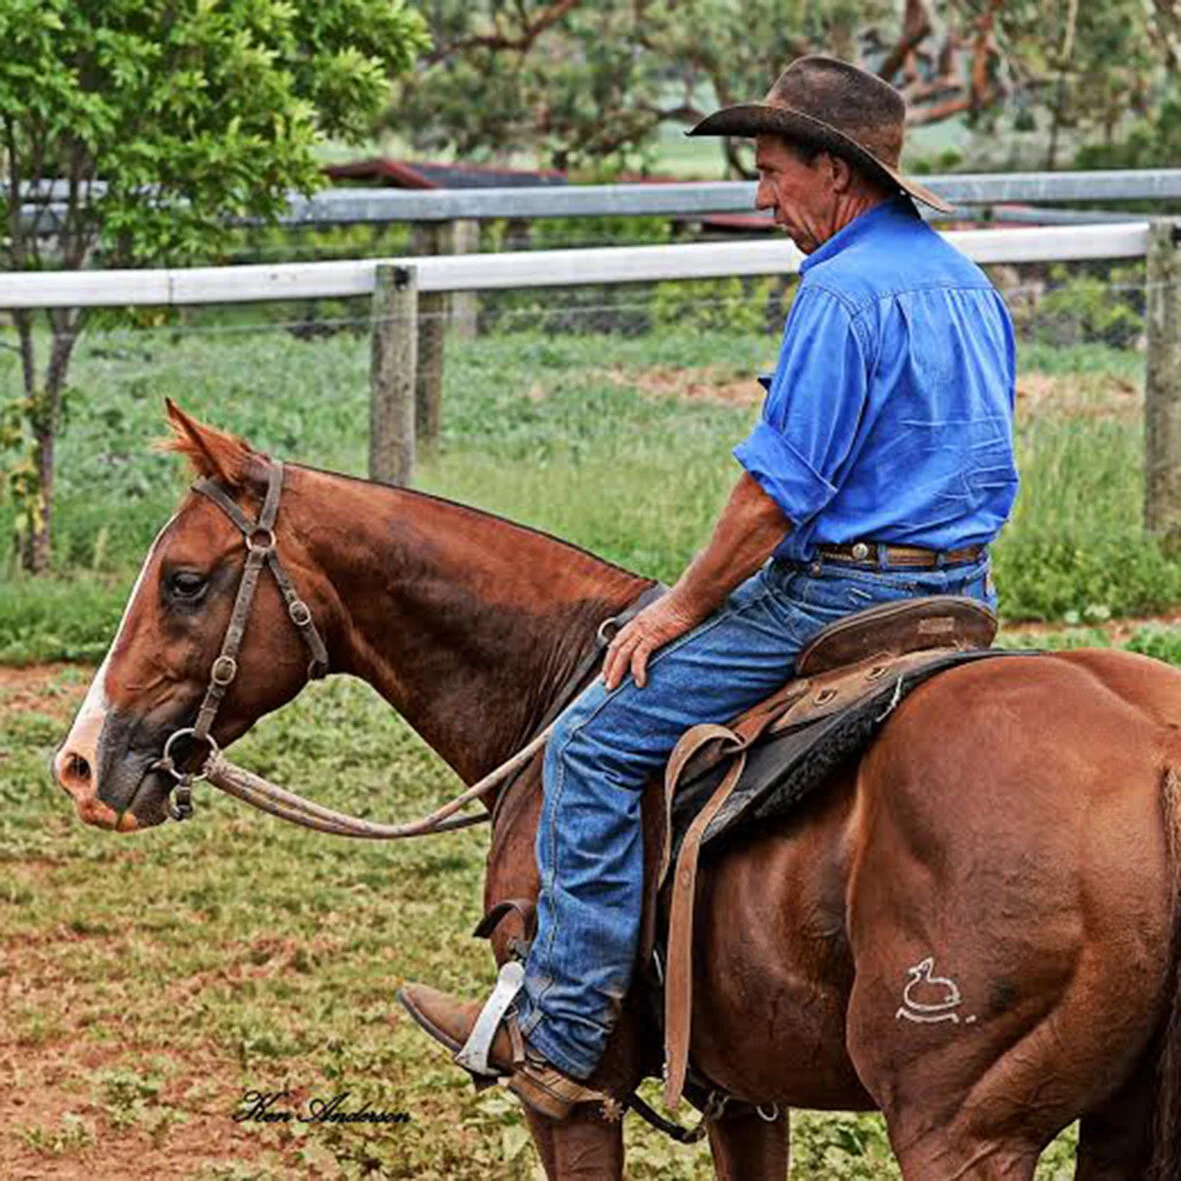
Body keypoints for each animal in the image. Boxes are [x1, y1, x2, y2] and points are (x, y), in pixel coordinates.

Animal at [53, 401, 1181, 1180]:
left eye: (185, 581)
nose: (81, 762)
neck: (554, 684)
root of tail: (1155, 755)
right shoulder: (742, 1091)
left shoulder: (572, 1097)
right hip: (1117, 1124)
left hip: (957, 1129)